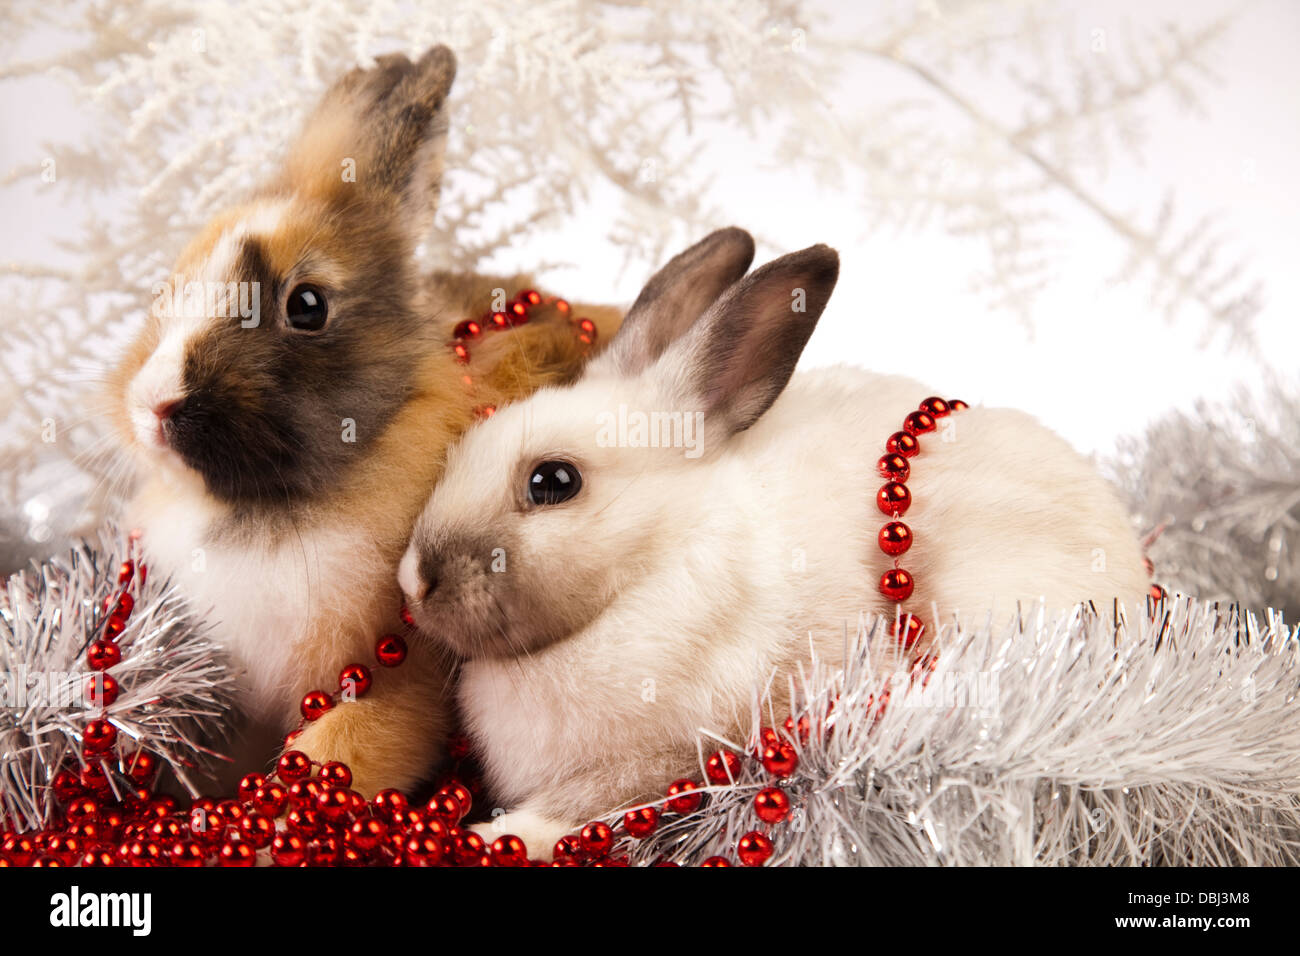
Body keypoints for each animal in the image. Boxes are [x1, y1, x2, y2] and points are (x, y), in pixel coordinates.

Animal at [398, 227, 1152, 855]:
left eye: (554, 481)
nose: (412, 579)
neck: (657, 556)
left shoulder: (678, 756)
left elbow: (585, 803)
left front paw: (500, 835)